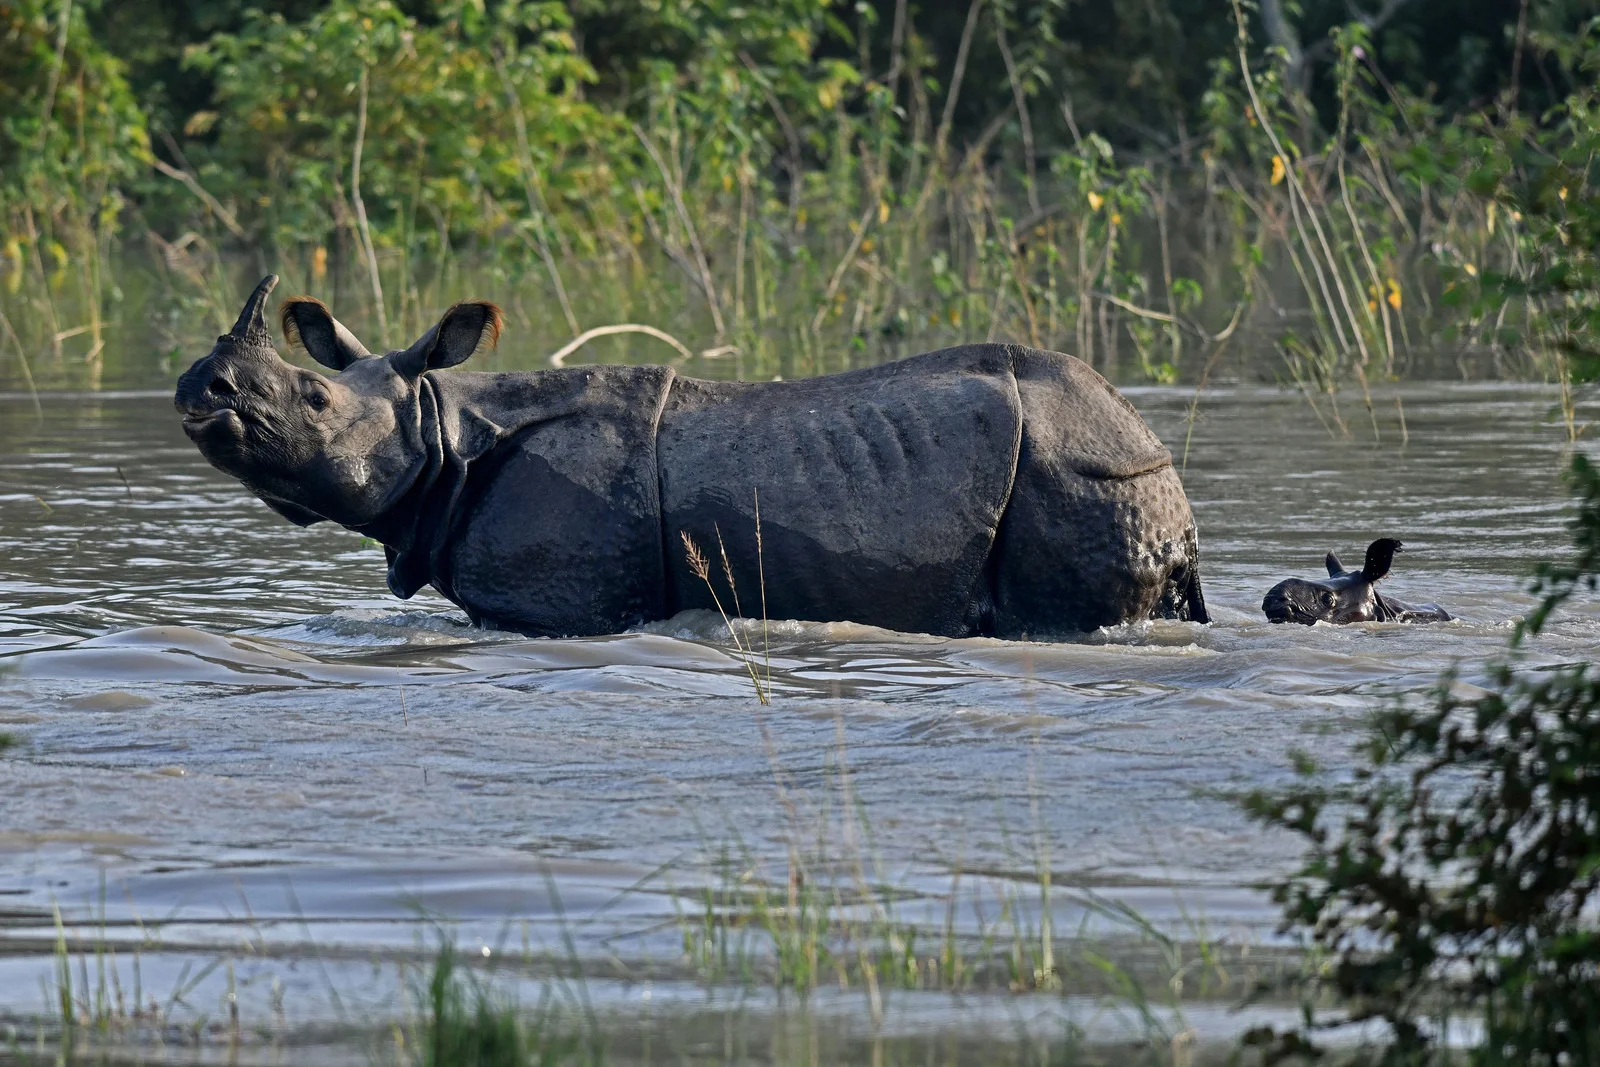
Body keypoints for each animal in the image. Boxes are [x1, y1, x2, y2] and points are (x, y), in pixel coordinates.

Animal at [174, 276, 1209, 639]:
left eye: (313, 401)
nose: (198, 389)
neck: (441, 430)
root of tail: (1154, 452)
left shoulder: (560, 603)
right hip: (1102, 468)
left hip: (1074, 473)